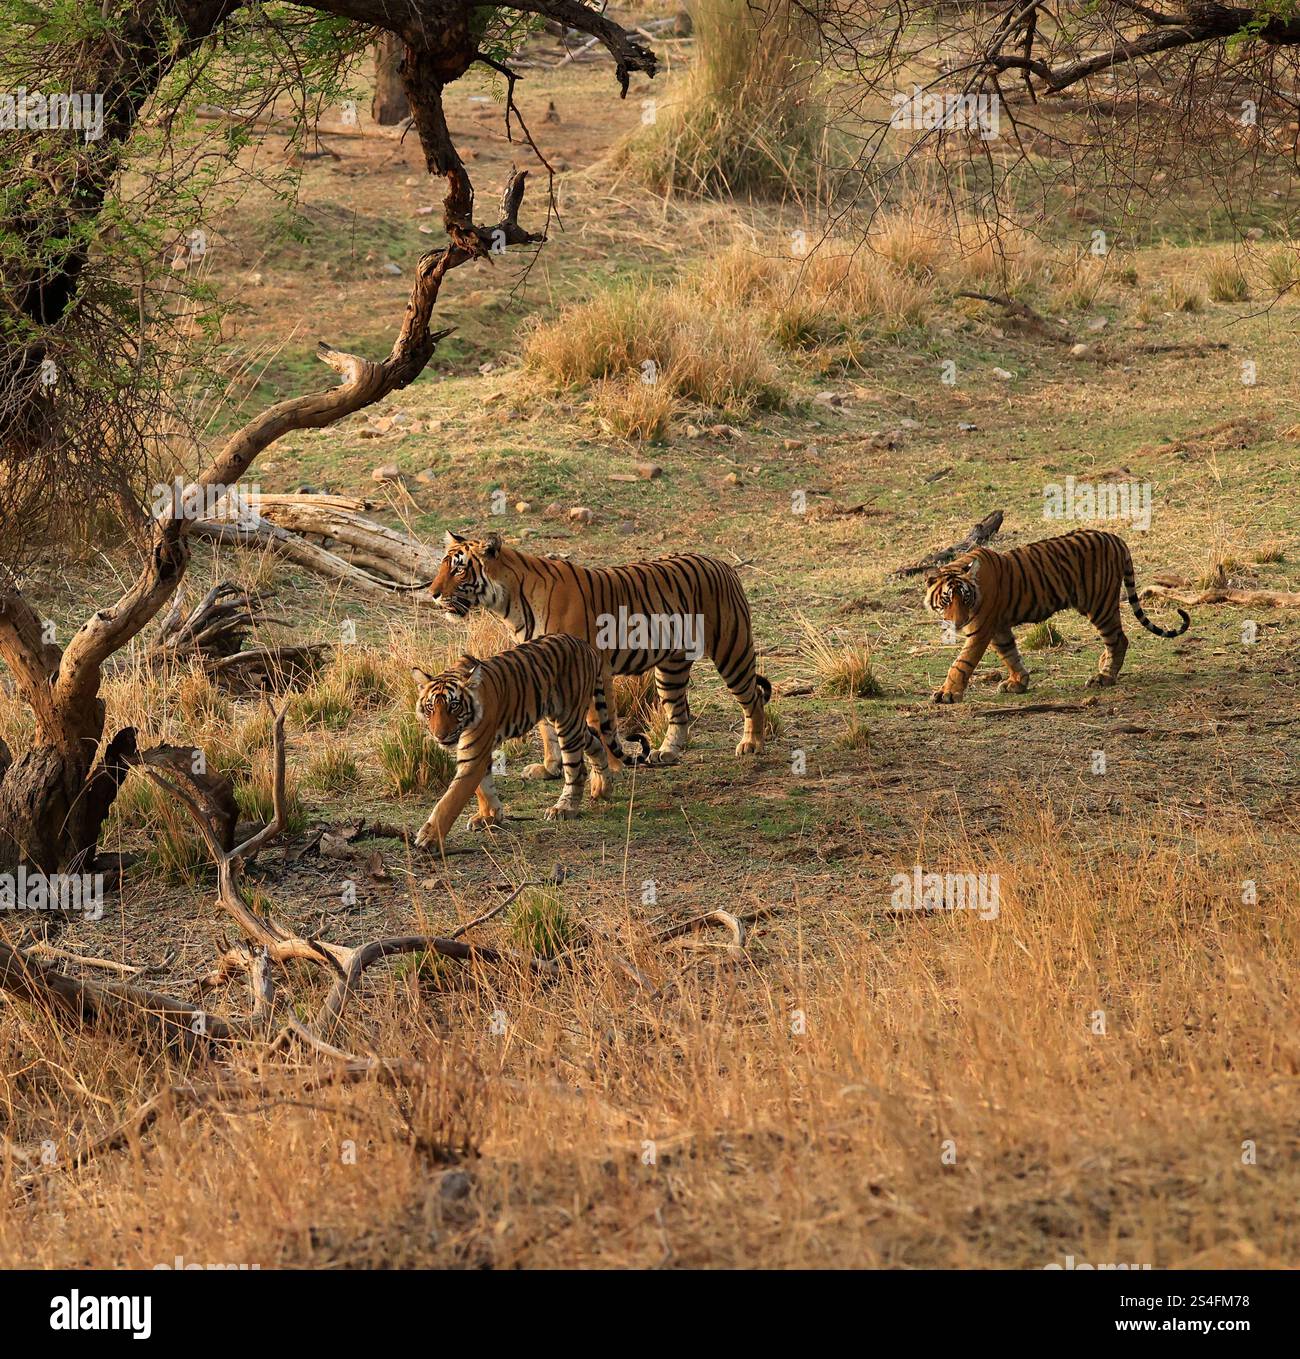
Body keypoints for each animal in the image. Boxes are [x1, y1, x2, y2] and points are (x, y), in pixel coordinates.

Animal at [409, 632, 647, 849]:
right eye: (430, 708)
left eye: (454, 706)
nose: (439, 735)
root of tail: (585, 645)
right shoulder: (474, 752)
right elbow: (483, 788)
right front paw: (489, 816)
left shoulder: (474, 754)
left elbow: (450, 800)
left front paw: (428, 838)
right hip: (565, 721)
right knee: (596, 741)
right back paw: (603, 788)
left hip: (568, 722)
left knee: (576, 769)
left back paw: (564, 808)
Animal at [429, 530, 770, 772]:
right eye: (443, 567)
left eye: (459, 571)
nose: (432, 593)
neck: (510, 604)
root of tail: (723, 563)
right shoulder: (541, 665)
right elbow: (546, 728)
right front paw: (550, 768)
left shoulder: (587, 668)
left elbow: (599, 723)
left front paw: (611, 767)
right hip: (671, 668)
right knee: (679, 711)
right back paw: (667, 752)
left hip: (732, 648)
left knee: (752, 697)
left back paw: (752, 744)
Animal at [924, 527, 1190, 703]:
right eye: (947, 600)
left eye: (965, 598)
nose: (958, 623)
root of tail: (1116, 538)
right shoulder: (998, 627)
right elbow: (1010, 654)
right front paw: (1018, 682)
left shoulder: (981, 629)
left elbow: (962, 662)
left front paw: (947, 693)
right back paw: (1103, 664)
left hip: (1099, 604)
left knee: (1118, 639)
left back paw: (1104, 677)